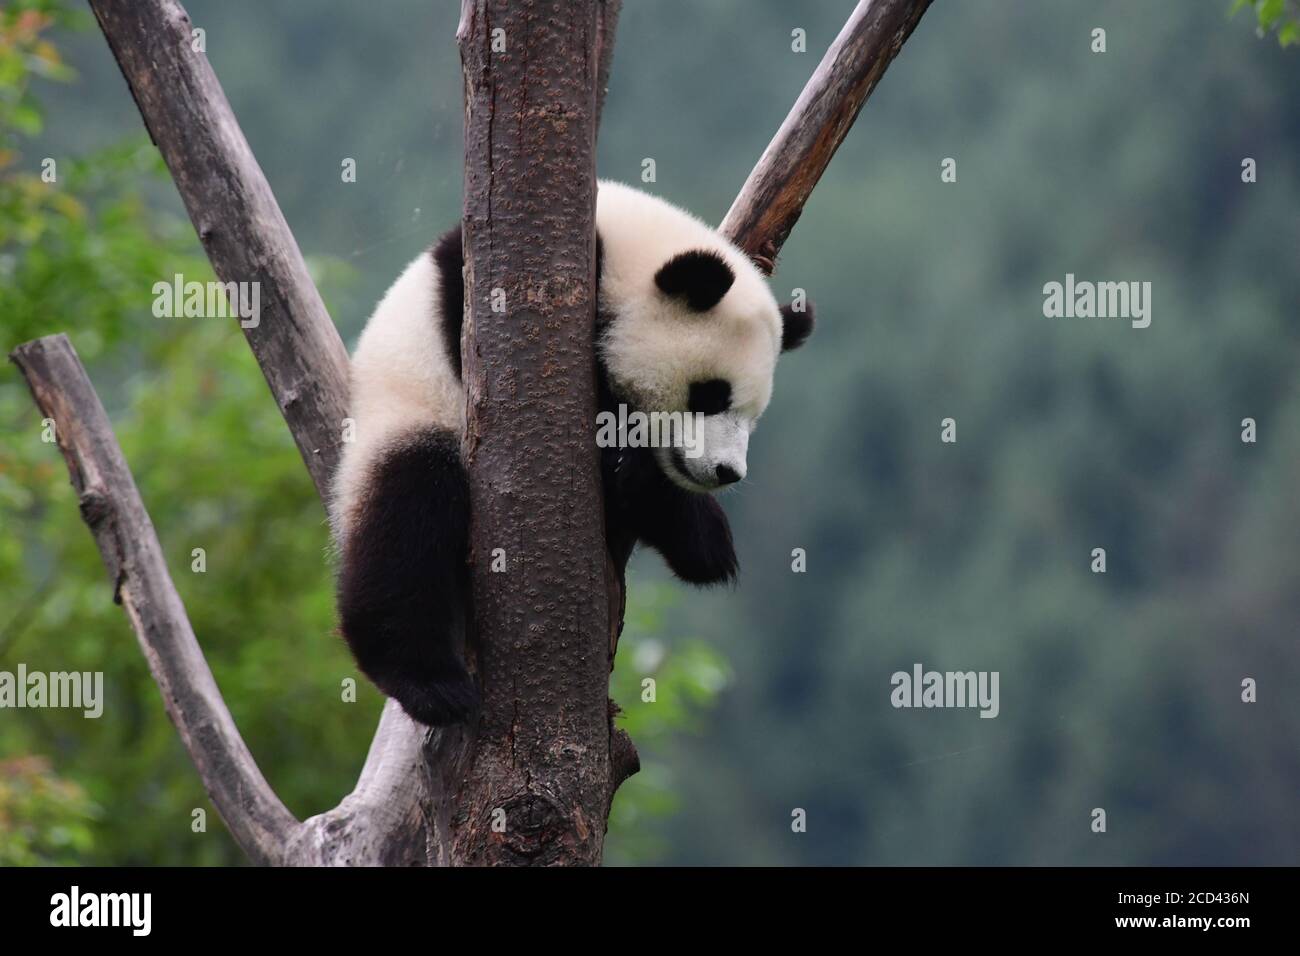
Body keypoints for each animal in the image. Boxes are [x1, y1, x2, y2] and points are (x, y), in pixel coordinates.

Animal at [330, 180, 814, 726]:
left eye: (753, 416)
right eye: (710, 394)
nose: (726, 471)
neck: (621, 249)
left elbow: (673, 516)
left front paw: (678, 514)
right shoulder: (477, 295)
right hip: (399, 425)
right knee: (407, 518)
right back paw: (431, 685)